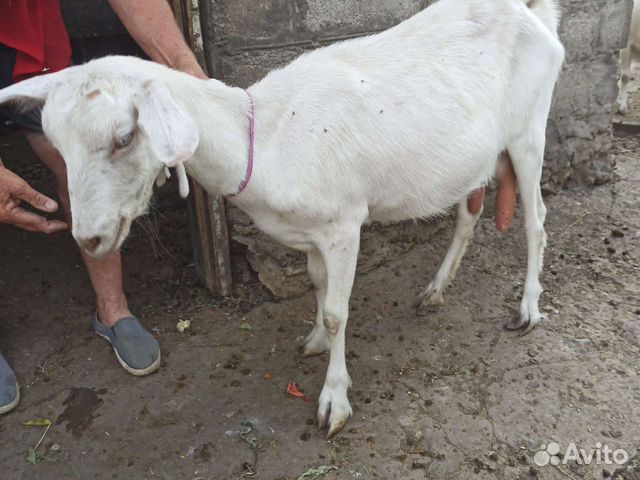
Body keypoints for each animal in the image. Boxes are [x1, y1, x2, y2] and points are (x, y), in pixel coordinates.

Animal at [0, 0, 564, 437]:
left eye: (122, 138)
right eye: (57, 145)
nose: (89, 238)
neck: (262, 137)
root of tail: (534, 14)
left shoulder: (344, 225)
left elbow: (338, 310)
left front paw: (334, 400)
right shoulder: (312, 233)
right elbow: (316, 285)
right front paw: (314, 341)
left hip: (529, 130)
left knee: (536, 219)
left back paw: (528, 308)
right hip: (476, 155)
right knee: (469, 213)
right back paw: (434, 291)